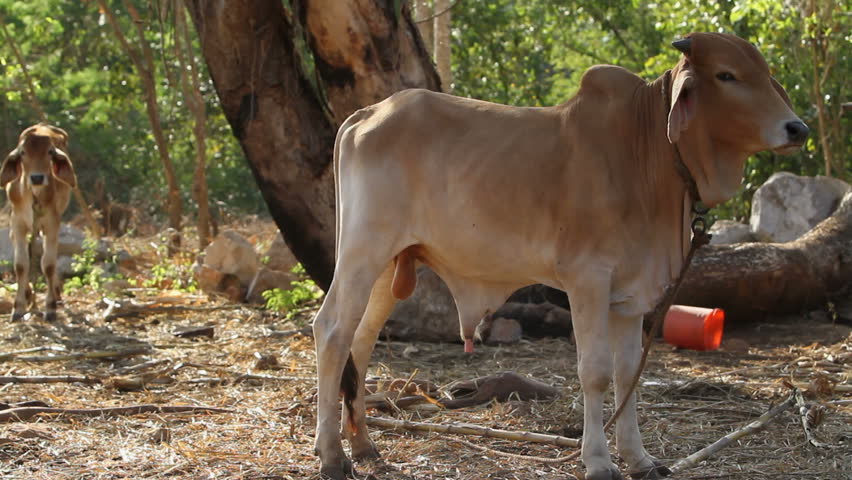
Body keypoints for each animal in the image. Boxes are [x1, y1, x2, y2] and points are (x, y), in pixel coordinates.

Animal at [1, 124, 77, 322]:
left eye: (50, 152)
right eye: (23, 152)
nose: (37, 178)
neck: (34, 195)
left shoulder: (52, 224)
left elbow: (48, 265)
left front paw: (50, 308)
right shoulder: (18, 223)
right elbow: (21, 265)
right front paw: (18, 307)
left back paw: (56, 294)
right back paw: (28, 294)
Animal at [312, 32, 808, 480]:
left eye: (765, 72)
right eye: (726, 75)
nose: (797, 128)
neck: (648, 150)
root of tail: (366, 114)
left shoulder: (631, 297)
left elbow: (628, 374)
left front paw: (640, 459)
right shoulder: (587, 278)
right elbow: (595, 372)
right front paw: (599, 461)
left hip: (388, 264)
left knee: (360, 341)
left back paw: (364, 446)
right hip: (362, 250)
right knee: (332, 330)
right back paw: (333, 455)